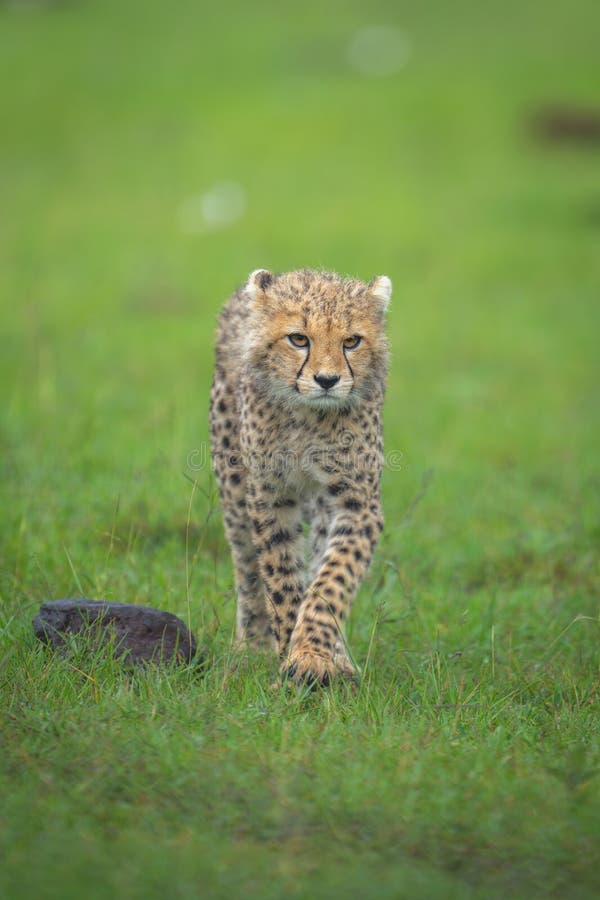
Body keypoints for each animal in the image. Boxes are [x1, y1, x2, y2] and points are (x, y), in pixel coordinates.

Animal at [209, 268, 391, 686]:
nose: (327, 380)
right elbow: (280, 579)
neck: (310, 417)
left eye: (351, 341)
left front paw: (315, 654)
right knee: (247, 567)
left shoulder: (356, 502)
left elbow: (332, 579)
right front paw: (292, 656)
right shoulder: (269, 496)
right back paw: (251, 643)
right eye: (298, 339)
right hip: (233, 489)